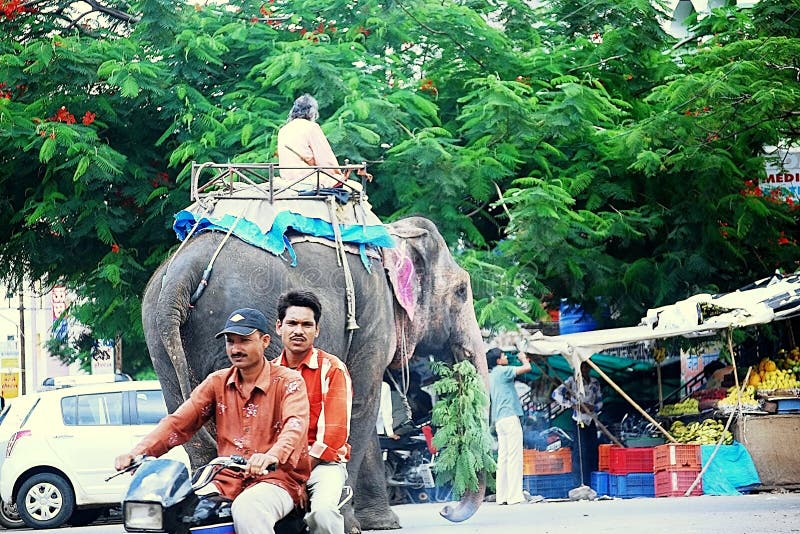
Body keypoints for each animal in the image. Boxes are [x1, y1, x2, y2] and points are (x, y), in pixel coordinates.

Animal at [141, 215, 488, 532]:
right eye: (461, 292)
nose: (446, 509)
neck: (390, 233)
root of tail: (181, 274)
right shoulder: (374, 316)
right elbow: (360, 403)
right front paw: (351, 524)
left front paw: (380, 524)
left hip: (161, 344)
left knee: (188, 421)